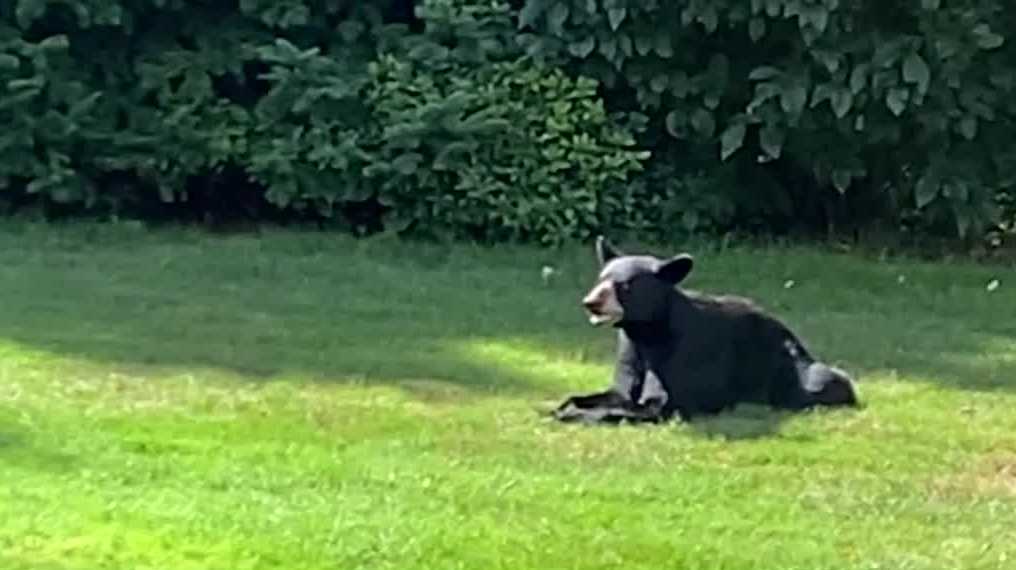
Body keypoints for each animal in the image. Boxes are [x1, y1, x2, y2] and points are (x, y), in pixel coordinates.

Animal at [552, 236, 859, 425]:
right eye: (601, 278)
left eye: (625, 286)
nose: (590, 302)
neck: (647, 332)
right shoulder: (630, 351)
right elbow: (616, 393)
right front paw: (565, 406)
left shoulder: (677, 355)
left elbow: (654, 405)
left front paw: (576, 415)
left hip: (802, 376)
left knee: (825, 381)